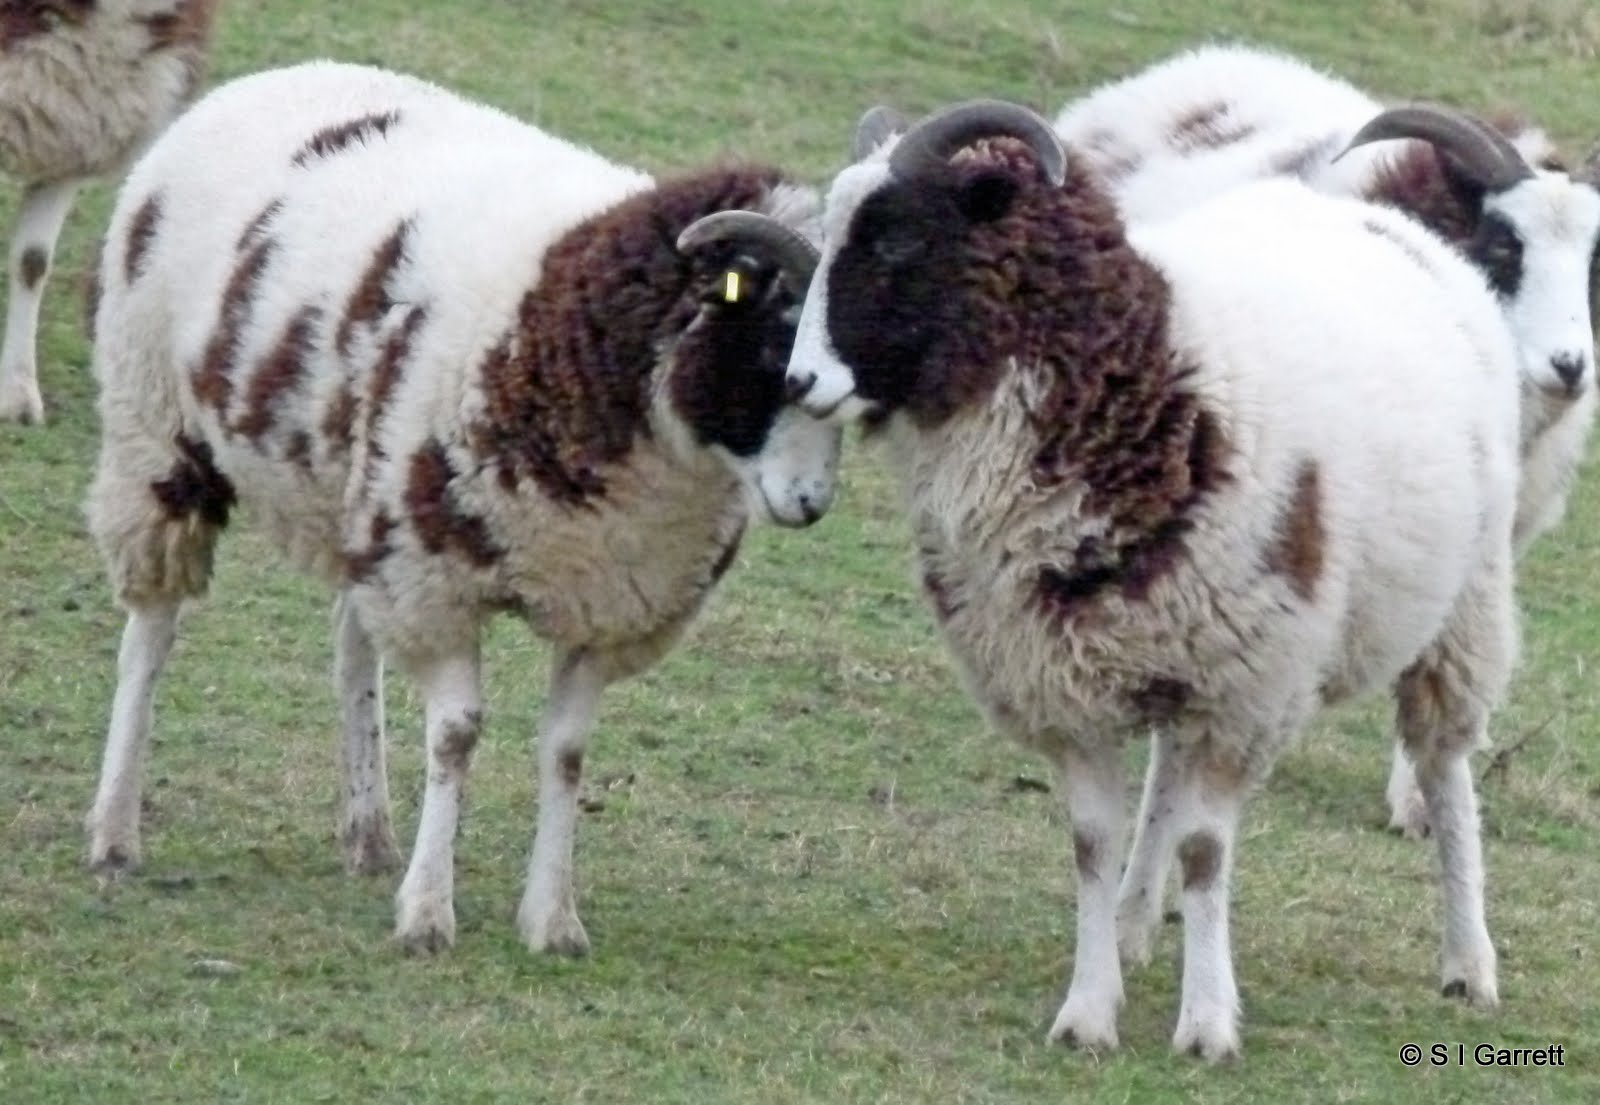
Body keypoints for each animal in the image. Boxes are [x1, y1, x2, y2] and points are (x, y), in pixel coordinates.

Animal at [82, 60, 842, 957]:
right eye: (772, 347)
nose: (811, 502)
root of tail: (273, 75)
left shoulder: (601, 600)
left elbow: (567, 753)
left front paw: (552, 918)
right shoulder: (433, 574)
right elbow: (456, 736)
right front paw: (427, 912)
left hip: (362, 503)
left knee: (352, 649)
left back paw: (368, 832)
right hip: (157, 428)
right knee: (150, 636)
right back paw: (115, 830)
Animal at [775, 99, 1520, 1059]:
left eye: (899, 239)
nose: (798, 380)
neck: (1147, 386)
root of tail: (1395, 226)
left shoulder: (1245, 686)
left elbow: (1206, 850)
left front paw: (1205, 1027)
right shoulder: (1072, 680)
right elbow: (1091, 843)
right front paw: (1089, 1011)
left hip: (1463, 608)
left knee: (1445, 770)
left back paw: (1469, 962)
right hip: (1173, 642)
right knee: (1166, 773)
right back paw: (1135, 920)